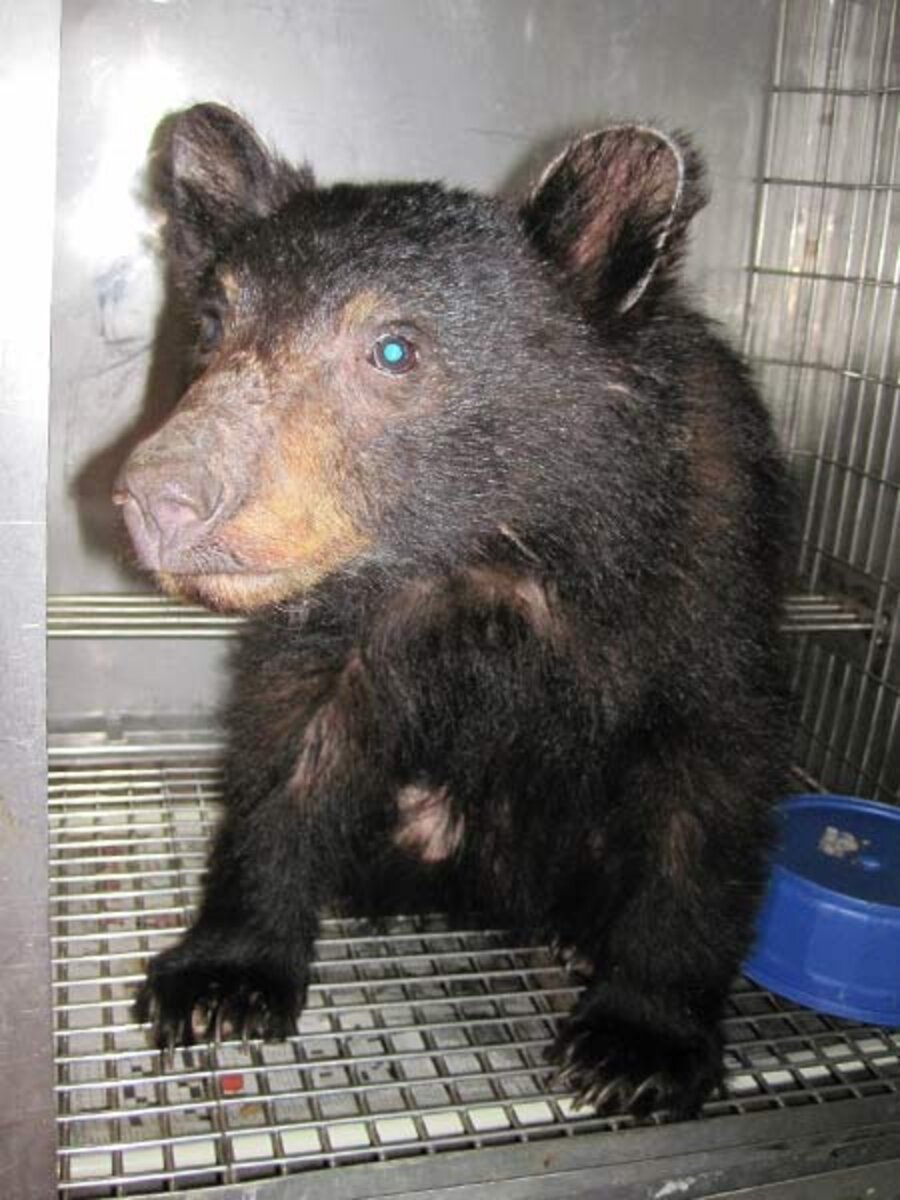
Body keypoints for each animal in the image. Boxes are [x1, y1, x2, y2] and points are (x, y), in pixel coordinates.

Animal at [115, 103, 790, 1120]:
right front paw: (220, 978)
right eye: (215, 321)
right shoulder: (336, 628)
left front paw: (639, 1044)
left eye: (394, 348)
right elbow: (291, 753)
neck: (484, 558)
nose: (158, 500)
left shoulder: (703, 583)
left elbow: (708, 785)